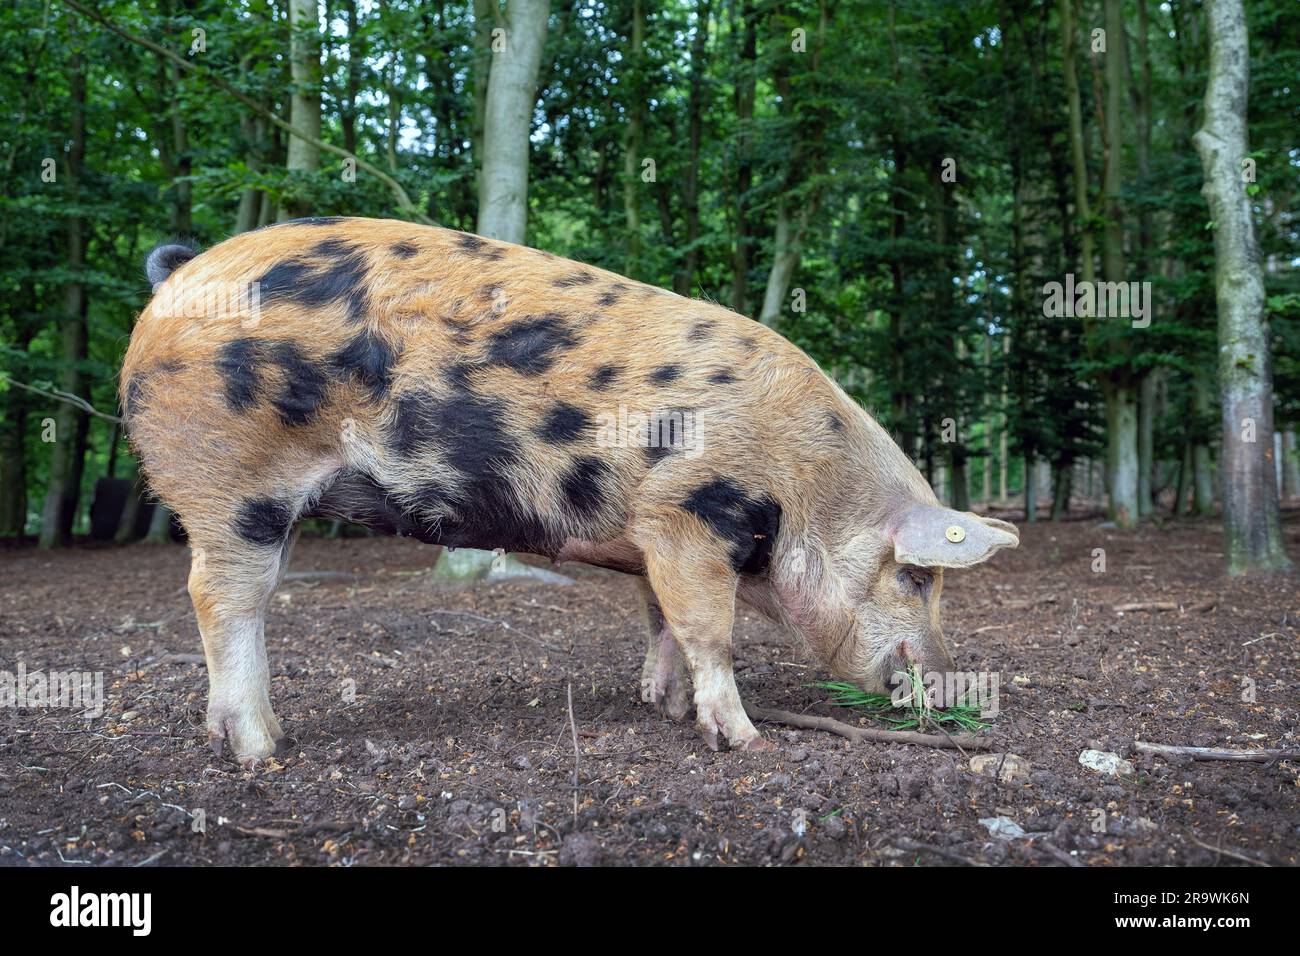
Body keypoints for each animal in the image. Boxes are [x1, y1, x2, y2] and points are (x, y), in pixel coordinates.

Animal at [120, 216, 1019, 765]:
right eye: (916, 576)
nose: (949, 676)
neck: (808, 482)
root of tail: (177, 277)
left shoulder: (651, 533)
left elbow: (660, 621)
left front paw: (659, 706)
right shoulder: (692, 511)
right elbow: (711, 631)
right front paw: (743, 739)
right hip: (231, 481)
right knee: (220, 596)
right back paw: (263, 749)